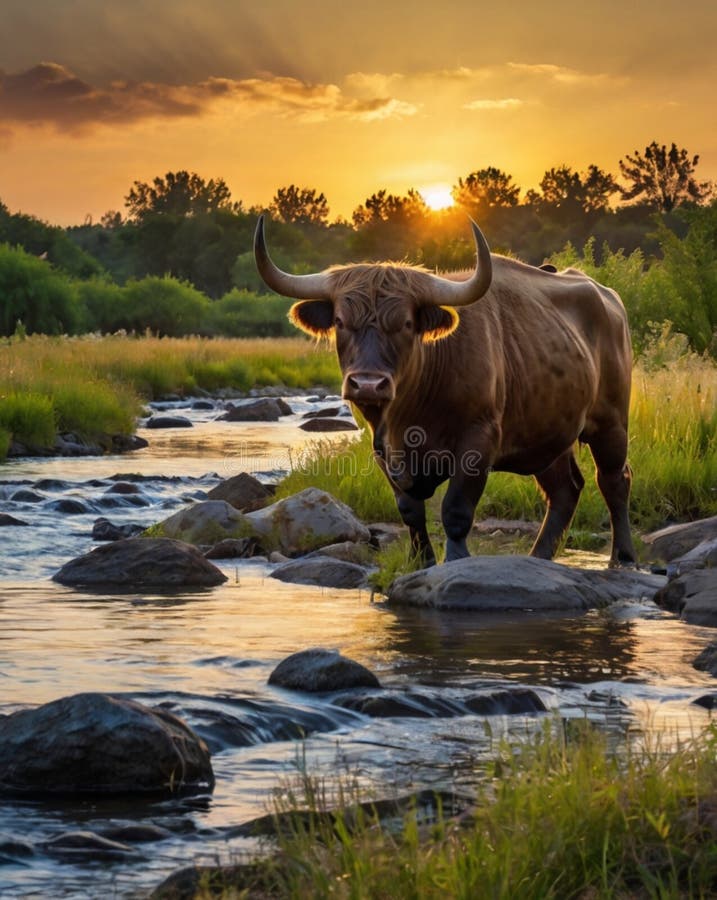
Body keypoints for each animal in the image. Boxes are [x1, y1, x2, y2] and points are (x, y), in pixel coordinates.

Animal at [254, 215, 636, 567]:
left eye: (407, 323)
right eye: (339, 321)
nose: (368, 384)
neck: (409, 415)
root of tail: (607, 297)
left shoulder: (478, 440)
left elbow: (456, 509)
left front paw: (455, 559)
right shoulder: (382, 451)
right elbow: (410, 511)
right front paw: (421, 561)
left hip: (611, 422)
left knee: (614, 481)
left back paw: (624, 556)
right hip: (549, 432)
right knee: (565, 490)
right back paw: (539, 556)